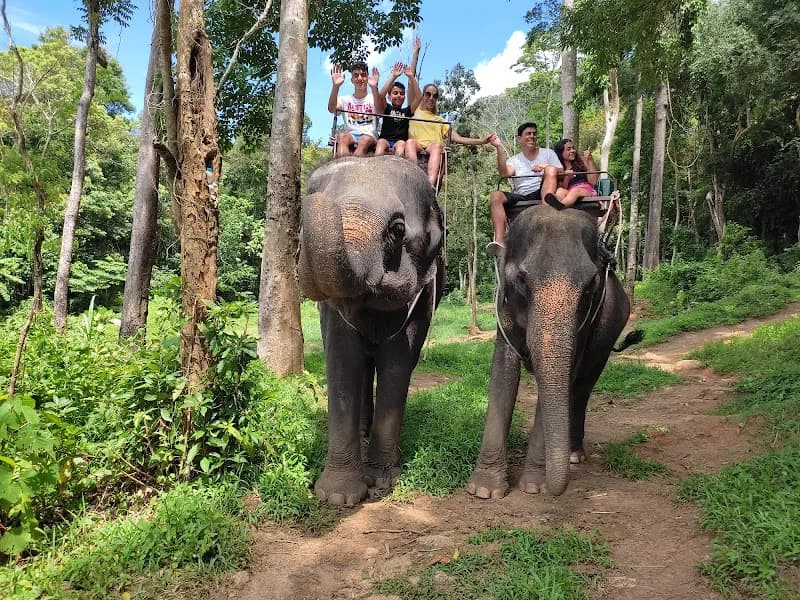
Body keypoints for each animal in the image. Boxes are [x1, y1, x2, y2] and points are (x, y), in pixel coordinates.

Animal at [297, 155, 445, 506]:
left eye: (397, 229)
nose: (311, 198)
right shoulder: (333, 310)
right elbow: (341, 361)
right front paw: (337, 497)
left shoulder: (423, 293)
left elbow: (397, 363)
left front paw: (381, 482)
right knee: (364, 366)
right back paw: (363, 432)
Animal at [467, 203, 636, 499]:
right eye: (521, 280)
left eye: (590, 286)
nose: (556, 490)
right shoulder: (503, 311)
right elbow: (503, 373)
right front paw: (484, 491)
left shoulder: (586, 323)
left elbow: (567, 374)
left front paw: (535, 487)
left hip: (609, 333)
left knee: (583, 386)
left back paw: (573, 455)